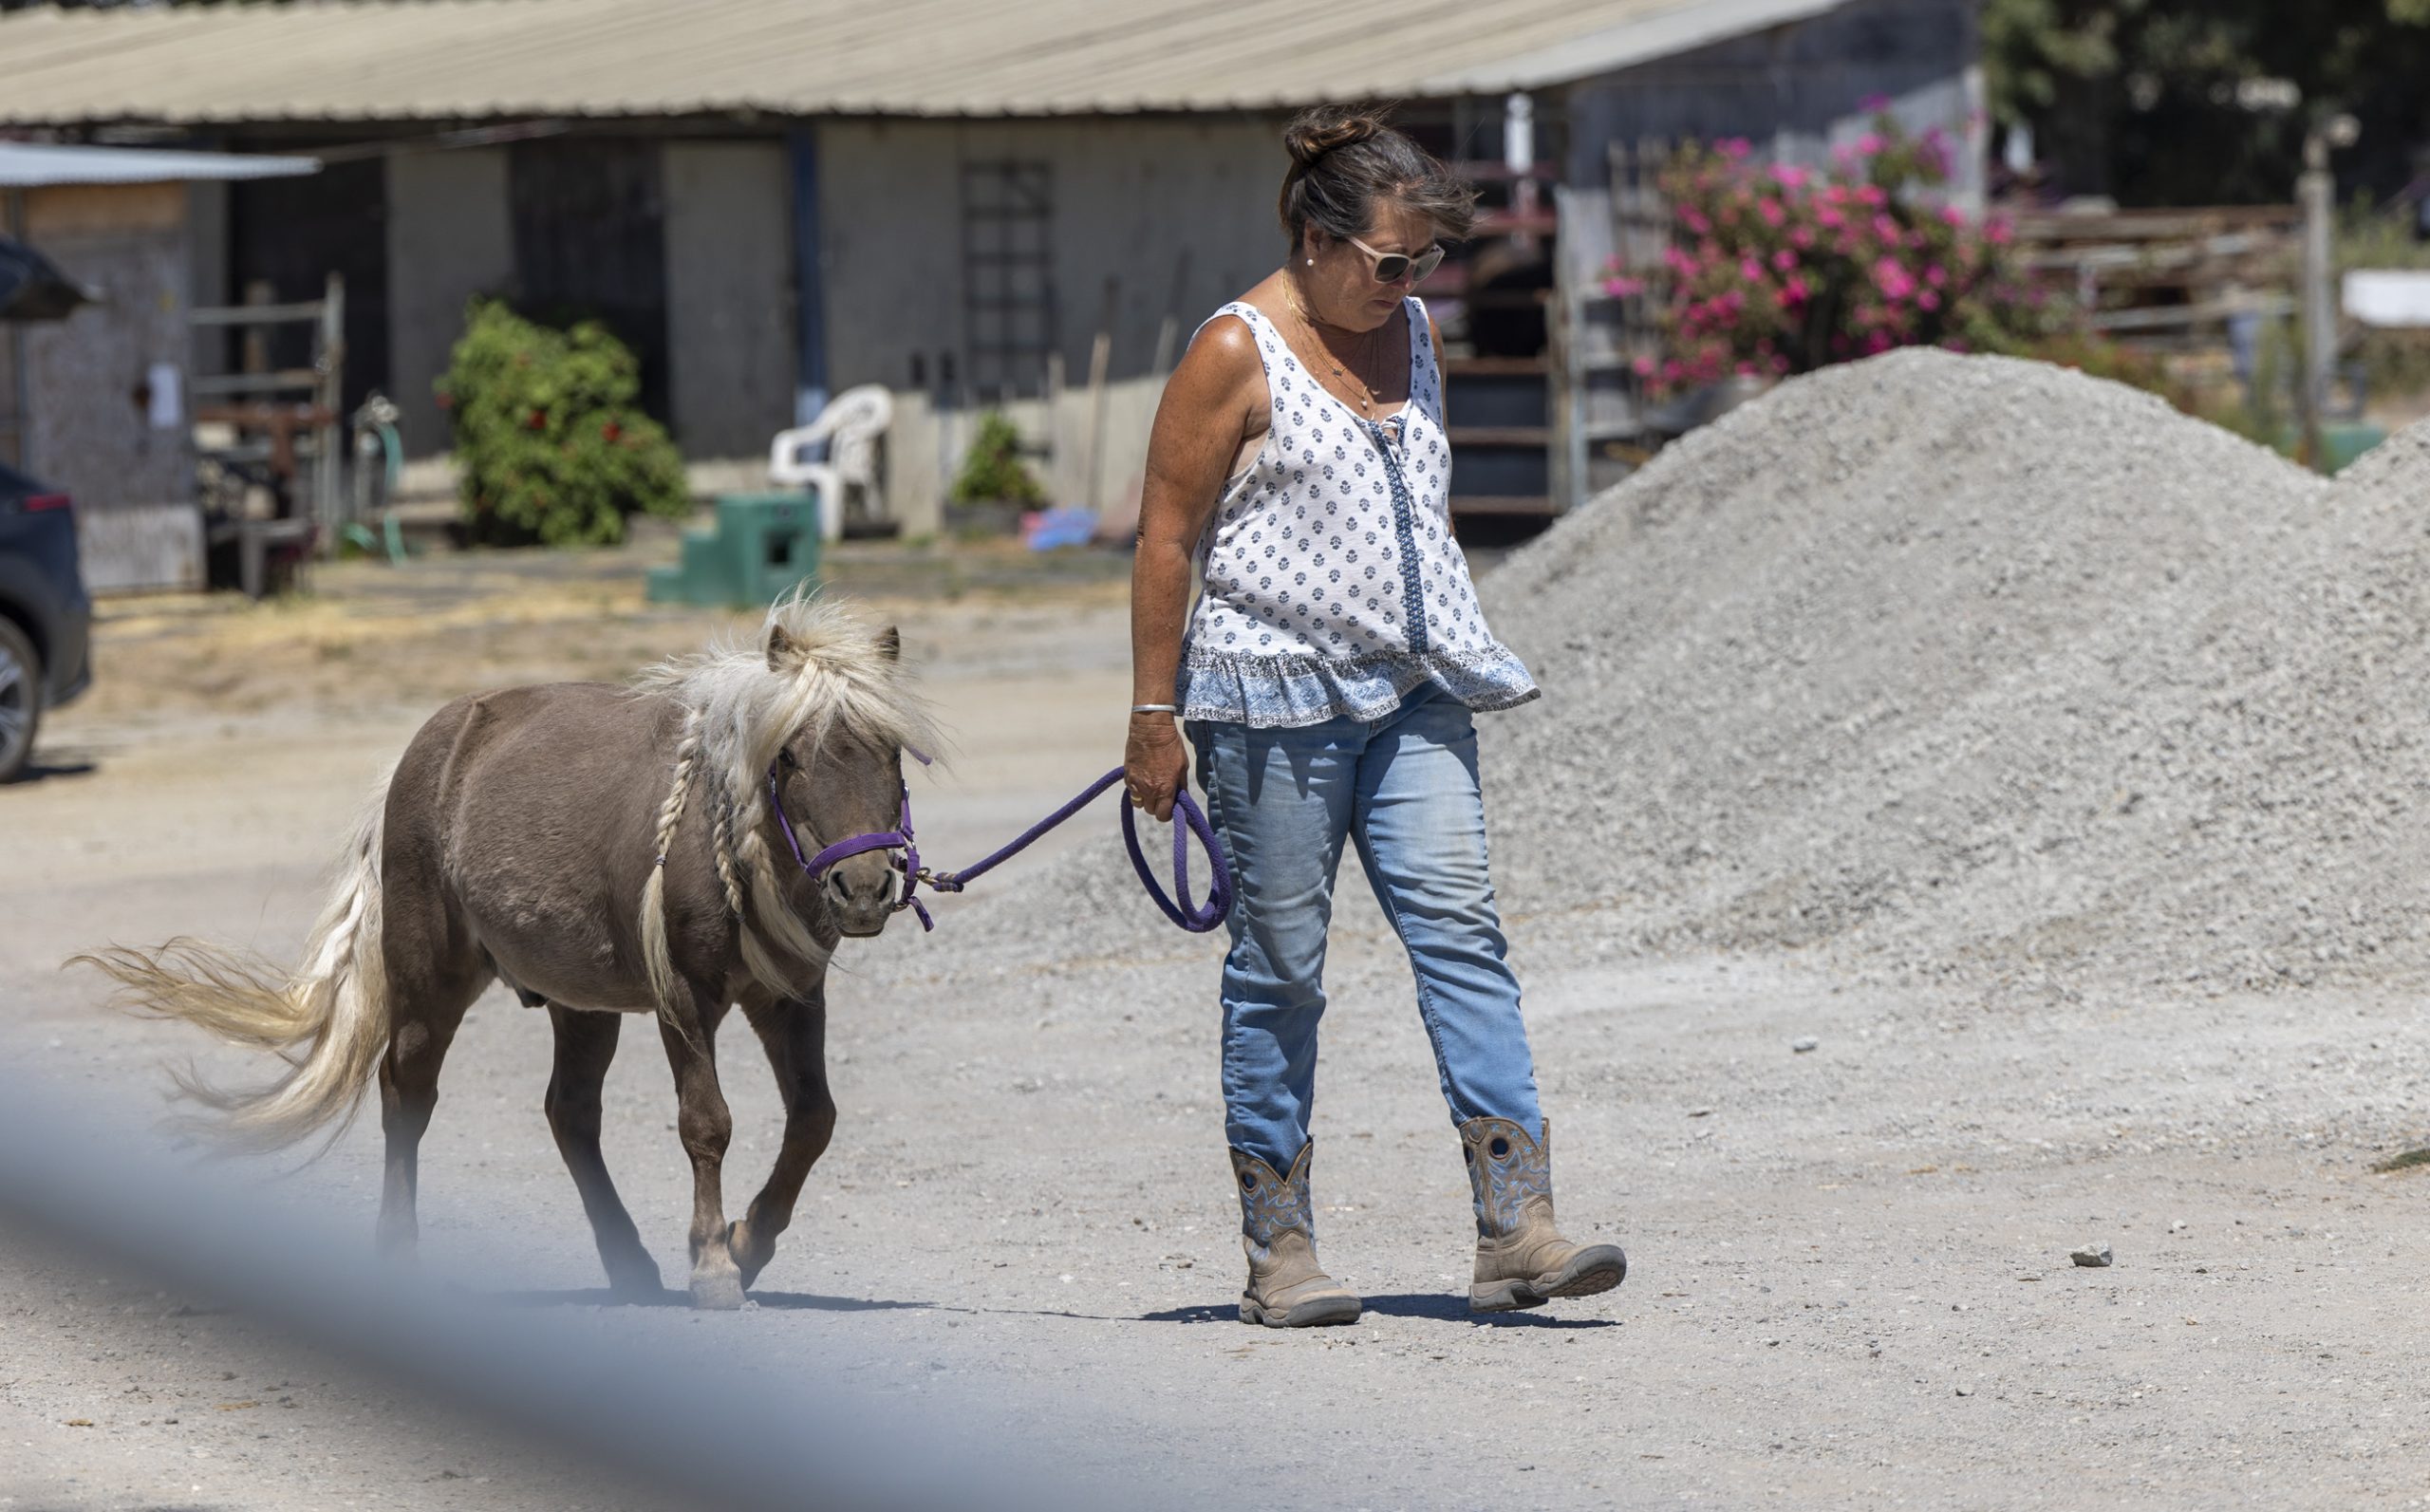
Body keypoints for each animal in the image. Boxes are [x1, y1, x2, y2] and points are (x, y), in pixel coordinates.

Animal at [74, 597, 937, 1309]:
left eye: (891, 752)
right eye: (789, 755)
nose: (863, 887)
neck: (719, 833)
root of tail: (428, 744)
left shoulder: (791, 997)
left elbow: (813, 1119)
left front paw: (749, 1241)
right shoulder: (685, 999)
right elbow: (707, 1124)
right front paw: (714, 1265)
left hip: (582, 1005)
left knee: (570, 1114)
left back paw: (627, 1264)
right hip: (431, 982)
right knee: (406, 1094)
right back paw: (400, 1252)